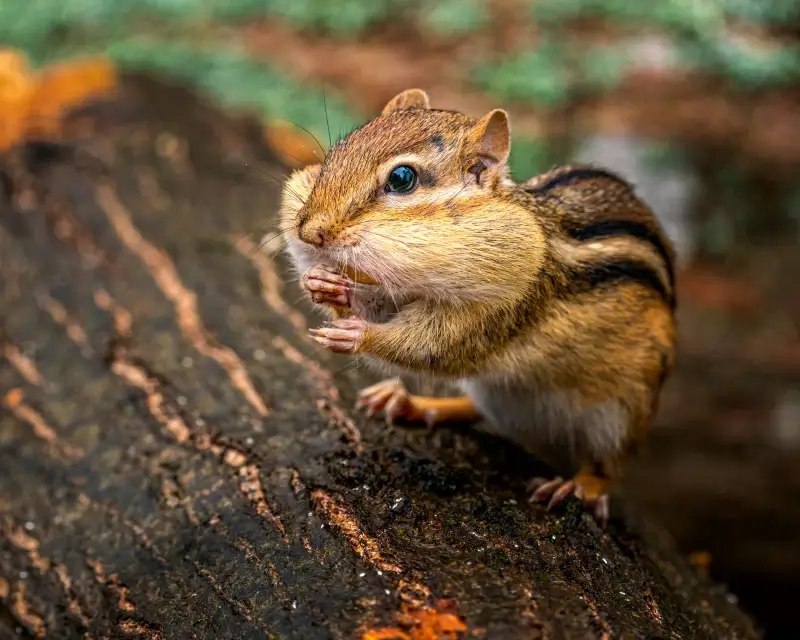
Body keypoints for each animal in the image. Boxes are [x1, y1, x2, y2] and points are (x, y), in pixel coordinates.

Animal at [279, 88, 677, 525]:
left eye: (402, 179)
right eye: (335, 153)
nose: (309, 232)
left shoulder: (505, 305)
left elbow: (434, 346)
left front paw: (357, 333)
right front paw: (325, 286)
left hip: (624, 411)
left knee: (609, 466)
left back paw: (579, 487)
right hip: (493, 392)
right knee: (474, 408)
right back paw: (411, 402)